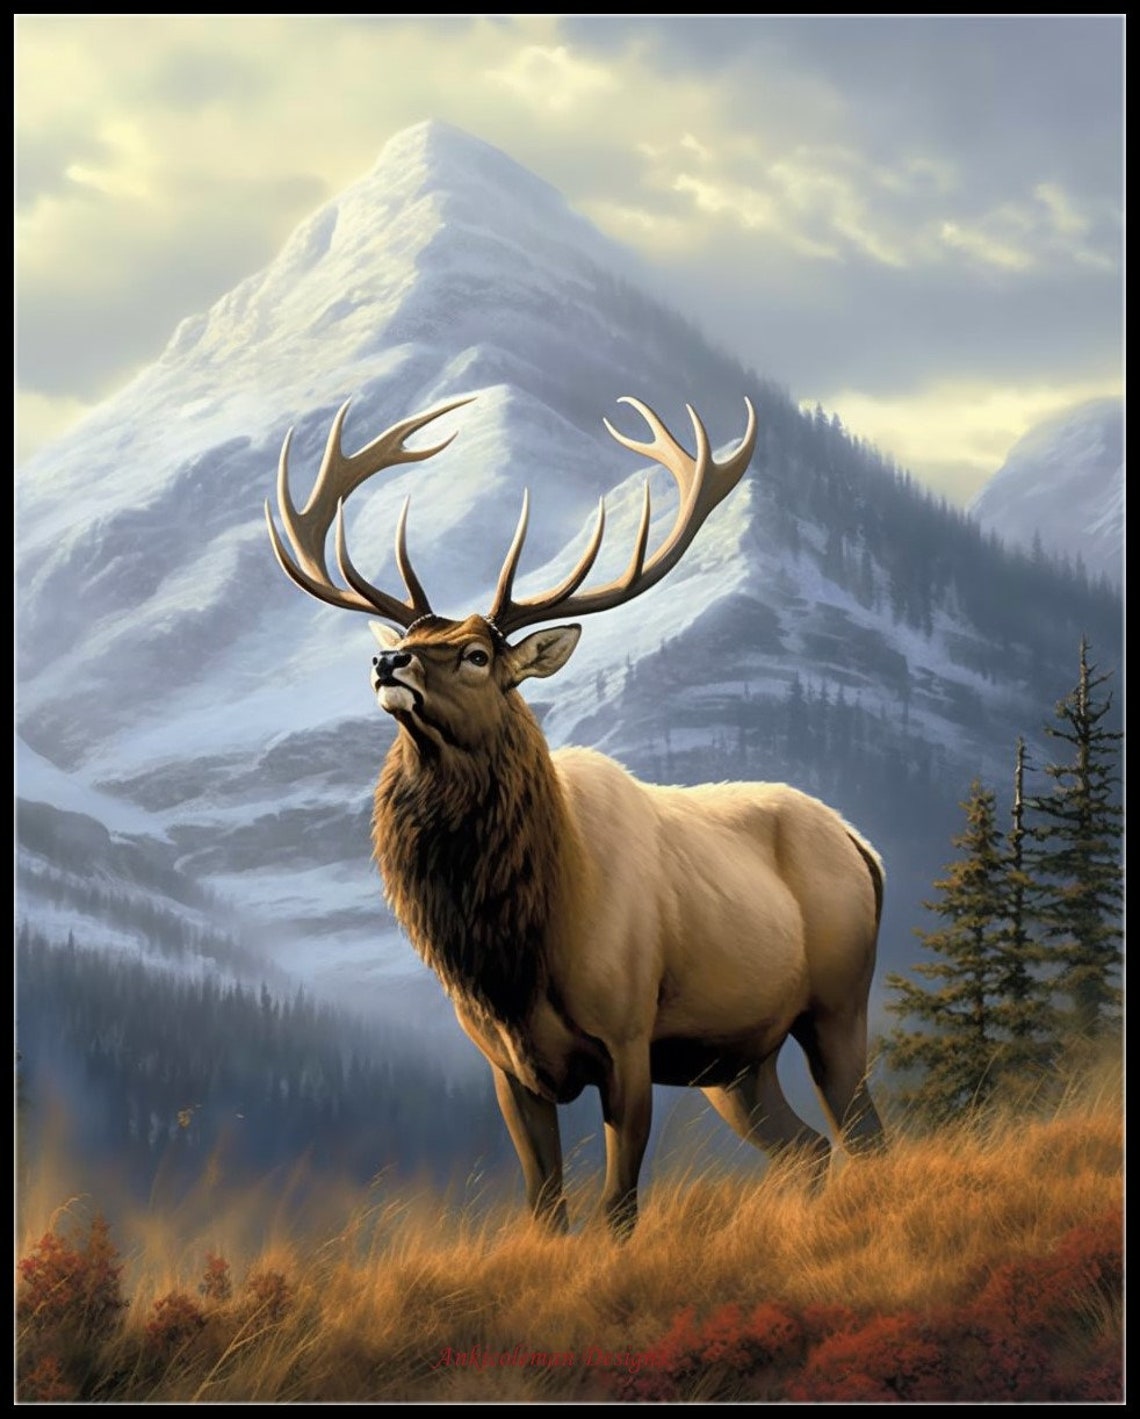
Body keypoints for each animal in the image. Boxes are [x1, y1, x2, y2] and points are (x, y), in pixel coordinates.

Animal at [265, 391, 887, 1238]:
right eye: (414, 636)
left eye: (478, 654)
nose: (387, 660)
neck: (520, 952)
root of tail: (863, 845)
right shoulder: (508, 1066)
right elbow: (546, 1209)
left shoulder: (626, 1037)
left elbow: (619, 1210)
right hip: (735, 1063)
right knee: (809, 1148)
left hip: (837, 1000)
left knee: (867, 1135)